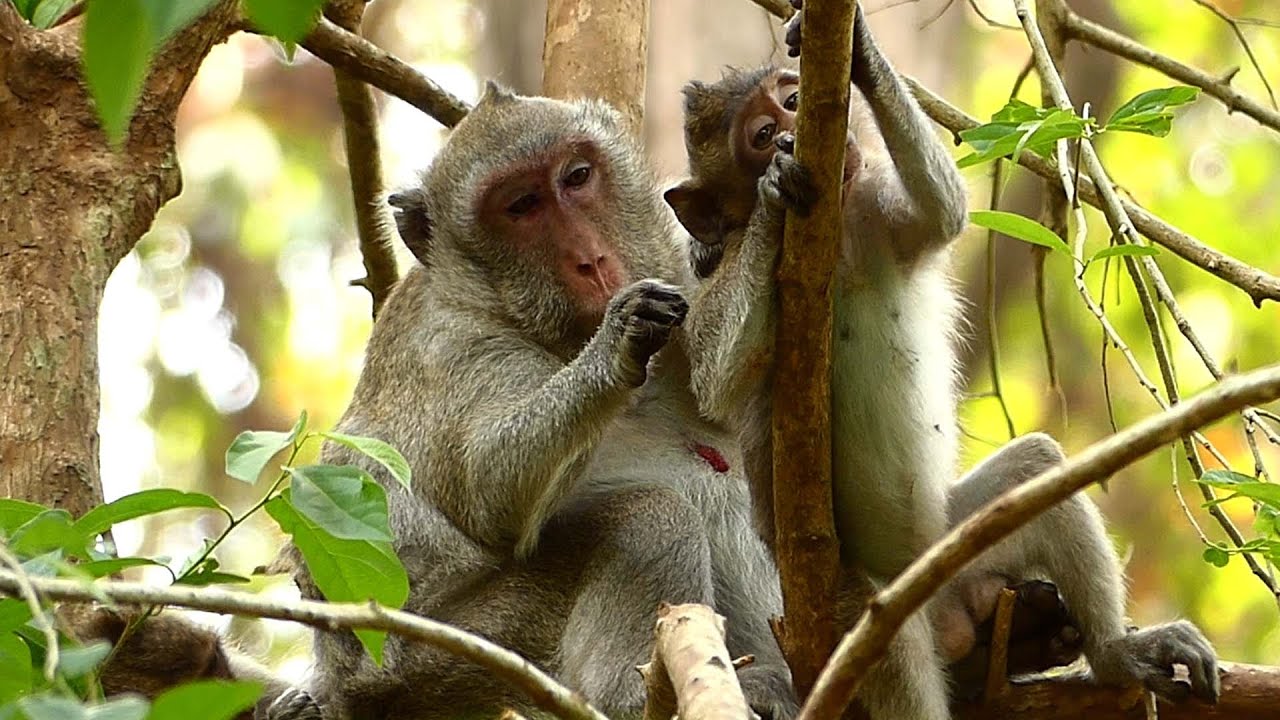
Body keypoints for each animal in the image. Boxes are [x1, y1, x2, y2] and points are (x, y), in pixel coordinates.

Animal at [281, 83, 799, 720]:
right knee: (648, 515)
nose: (592, 261)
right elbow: (491, 492)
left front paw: (773, 205)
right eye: (522, 206)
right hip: (439, 655)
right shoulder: (447, 344)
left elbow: (718, 375)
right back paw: (633, 694)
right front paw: (619, 339)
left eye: (576, 177)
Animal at [667, 2, 1220, 718]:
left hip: (958, 547)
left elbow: (942, 213)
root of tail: (943, 611)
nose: (790, 135)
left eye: (792, 101)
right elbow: (714, 378)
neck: (833, 238)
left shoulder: (875, 210)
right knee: (882, 634)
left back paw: (1114, 653)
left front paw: (857, 48)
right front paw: (771, 193)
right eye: (761, 135)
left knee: (1034, 471)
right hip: (857, 599)